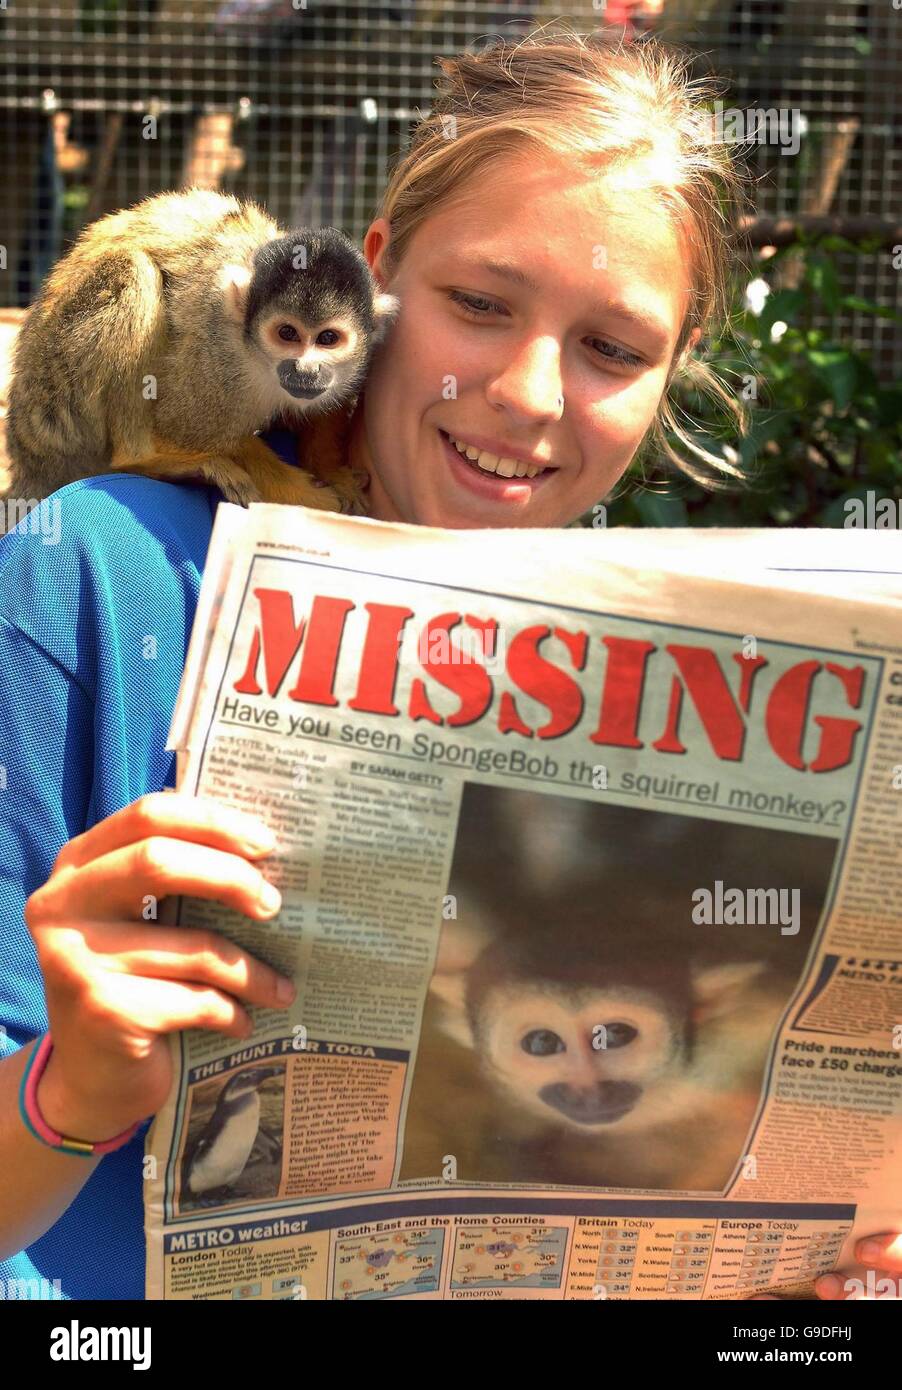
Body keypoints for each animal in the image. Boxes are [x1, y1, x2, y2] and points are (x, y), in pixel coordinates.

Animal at [4, 188, 399, 510]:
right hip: (55, 401)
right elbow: (188, 428)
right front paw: (307, 497)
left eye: (328, 339)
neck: (256, 362)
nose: (305, 370)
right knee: (133, 271)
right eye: (287, 333)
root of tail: (26, 454)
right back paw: (147, 460)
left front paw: (331, 470)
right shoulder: (215, 361)